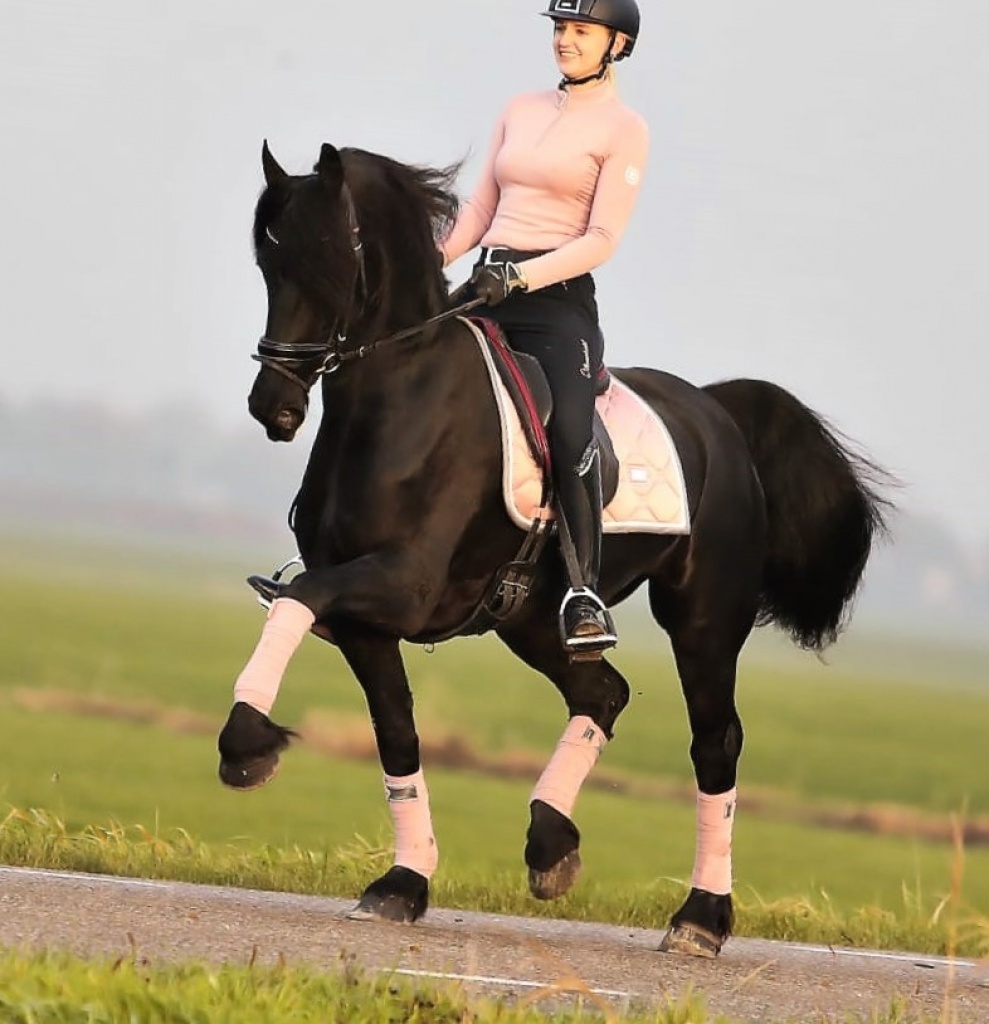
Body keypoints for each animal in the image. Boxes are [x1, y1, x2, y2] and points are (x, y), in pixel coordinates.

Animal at [217, 140, 890, 958]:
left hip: (702, 617)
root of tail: (714, 410)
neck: (398, 401)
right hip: (534, 619)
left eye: (328, 258)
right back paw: (551, 845)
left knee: (715, 744)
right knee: (604, 694)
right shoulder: (365, 623)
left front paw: (245, 743)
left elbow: (297, 600)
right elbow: (396, 733)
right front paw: (402, 884)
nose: (274, 407)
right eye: (268, 263)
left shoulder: (403, 584)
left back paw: (700, 919)